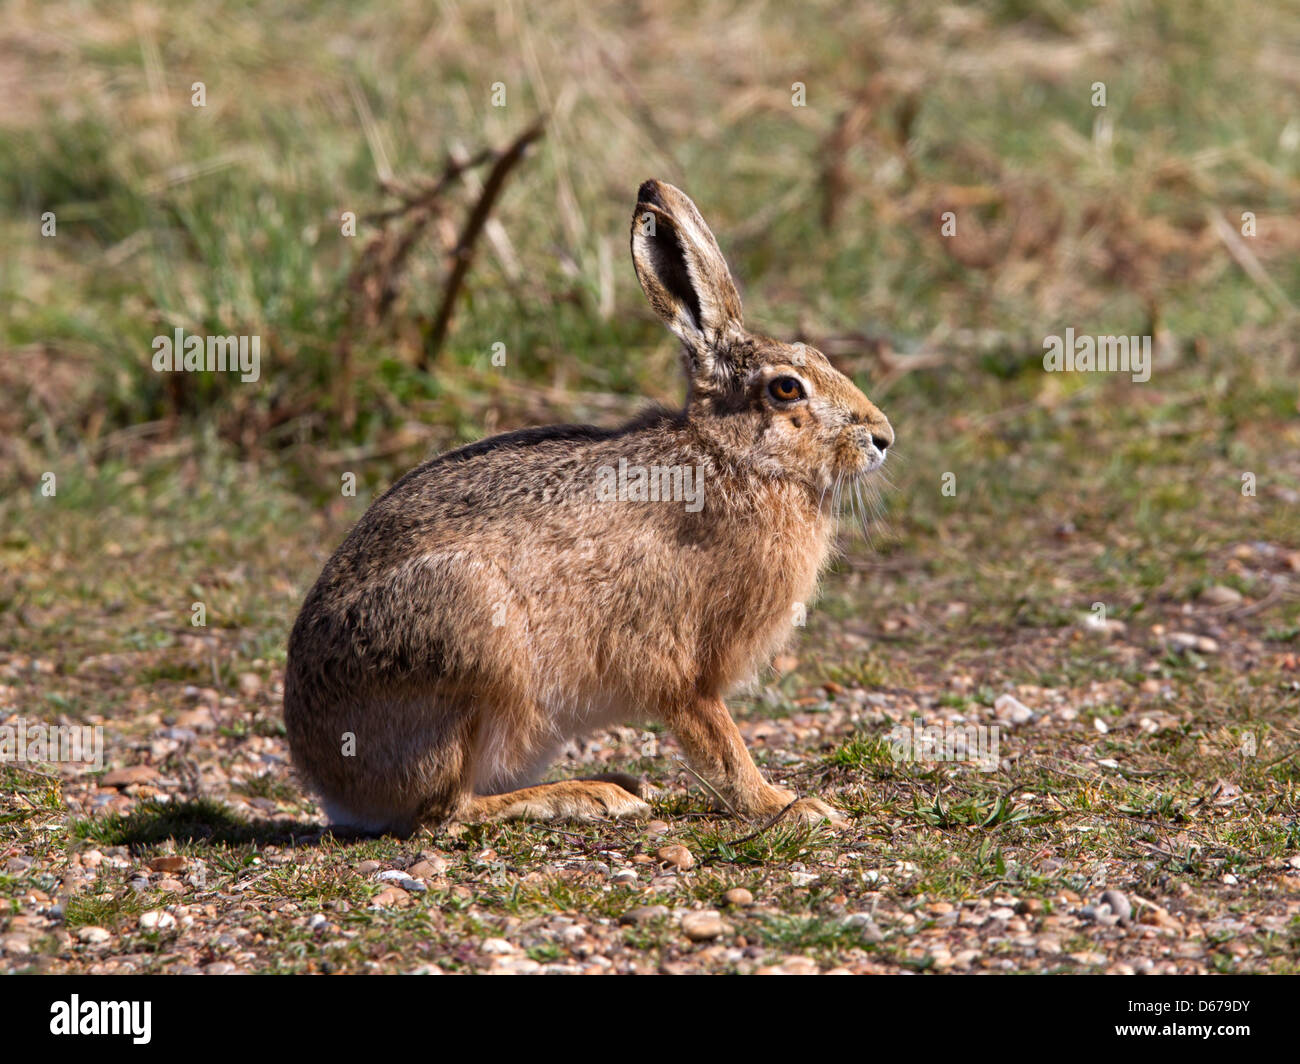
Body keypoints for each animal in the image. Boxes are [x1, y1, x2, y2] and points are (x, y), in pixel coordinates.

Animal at [283, 179, 894, 836]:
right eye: (786, 389)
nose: (882, 436)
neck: (733, 457)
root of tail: (331, 781)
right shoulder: (683, 666)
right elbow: (719, 741)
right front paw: (786, 804)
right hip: (468, 642)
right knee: (445, 812)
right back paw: (589, 795)